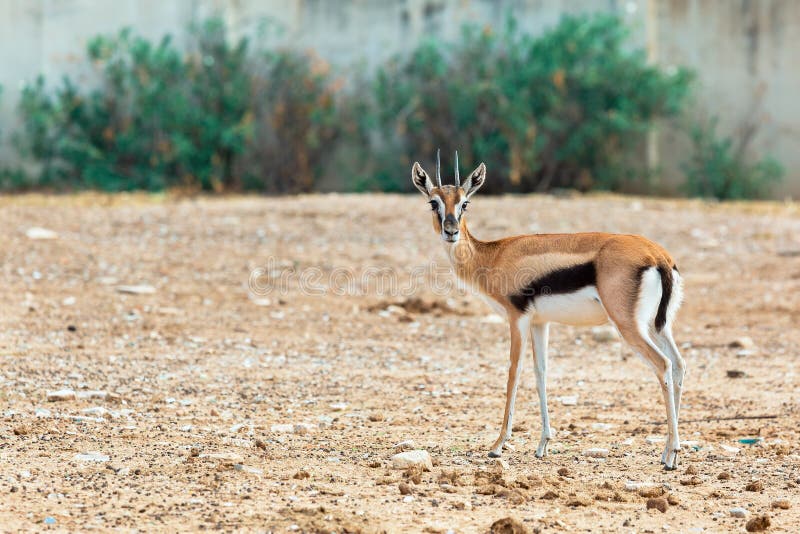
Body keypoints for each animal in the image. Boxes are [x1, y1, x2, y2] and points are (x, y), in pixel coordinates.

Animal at [412, 152, 686, 469]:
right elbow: (541, 371)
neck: (493, 256)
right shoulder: (539, 323)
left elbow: (514, 370)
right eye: (434, 202)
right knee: (678, 365)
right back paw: (668, 452)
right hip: (658, 325)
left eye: (465, 202)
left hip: (629, 326)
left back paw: (671, 454)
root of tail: (658, 256)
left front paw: (498, 445)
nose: (451, 231)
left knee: (663, 365)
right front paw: (542, 444)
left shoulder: (517, 318)